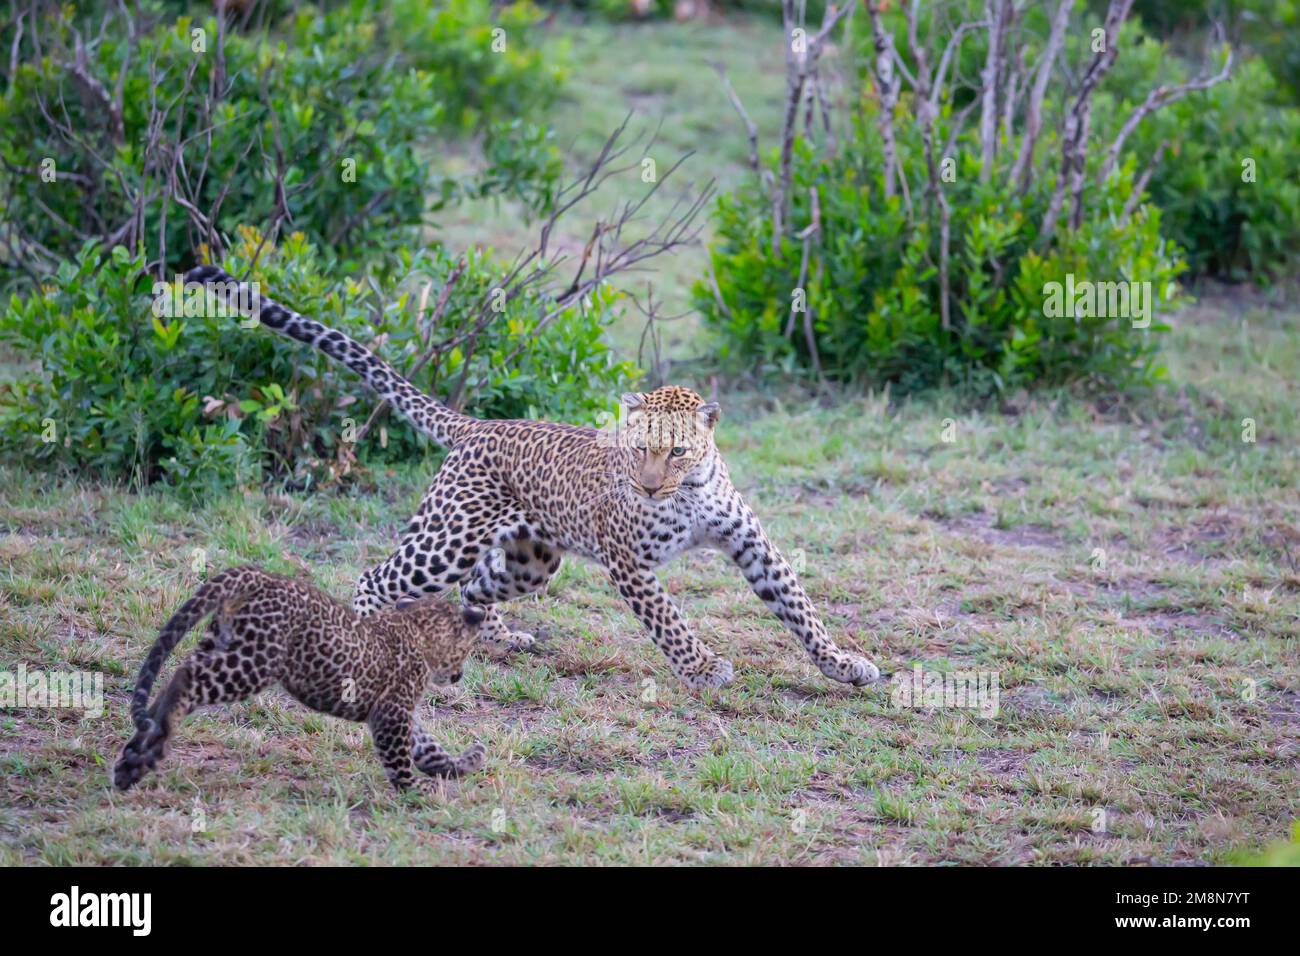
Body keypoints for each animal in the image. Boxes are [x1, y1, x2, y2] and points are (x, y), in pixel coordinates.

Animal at [113, 565, 486, 795]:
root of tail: (259, 576)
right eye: (466, 650)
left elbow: (427, 746)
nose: (459, 675)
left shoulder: (394, 708)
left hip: (220, 642)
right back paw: (152, 747)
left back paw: (134, 758)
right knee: (184, 679)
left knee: (171, 682)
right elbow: (400, 757)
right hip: (253, 662)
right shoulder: (392, 711)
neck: (416, 629)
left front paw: (463, 763)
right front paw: (419, 790)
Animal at [186, 264, 880, 691]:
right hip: (448, 538)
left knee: (476, 589)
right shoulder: (629, 561)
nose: (649, 486)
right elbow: (669, 618)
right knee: (376, 577)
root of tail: (478, 425)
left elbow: (799, 606)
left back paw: (501, 639)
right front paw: (704, 667)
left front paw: (844, 664)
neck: (687, 493)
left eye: (678, 452)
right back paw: (365, 645)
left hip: (530, 559)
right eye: (638, 451)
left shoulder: (751, 543)